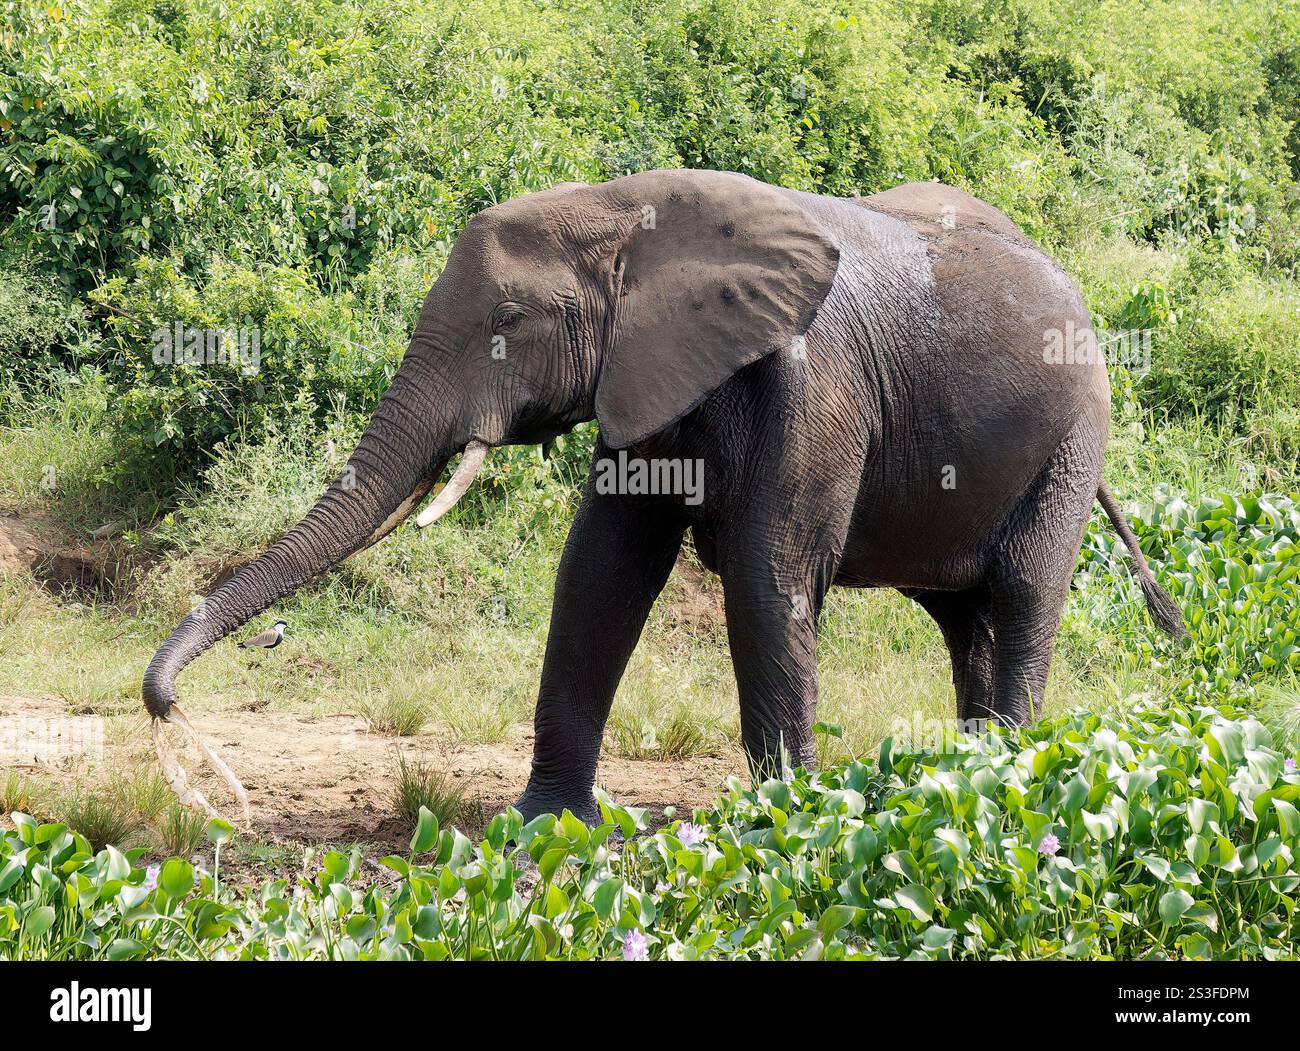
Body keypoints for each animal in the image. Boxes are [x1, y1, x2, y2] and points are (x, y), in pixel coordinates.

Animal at [143, 169, 1184, 824]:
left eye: (509, 318)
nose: (171, 718)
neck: (623, 210)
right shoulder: (640, 378)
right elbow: (599, 572)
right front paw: (542, 823)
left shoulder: (810, 385)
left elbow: (768, 582)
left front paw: (789, 817)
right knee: (964, 617)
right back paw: (966, 774)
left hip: (1075, 432)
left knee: (1024, 595)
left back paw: (1006, 775)